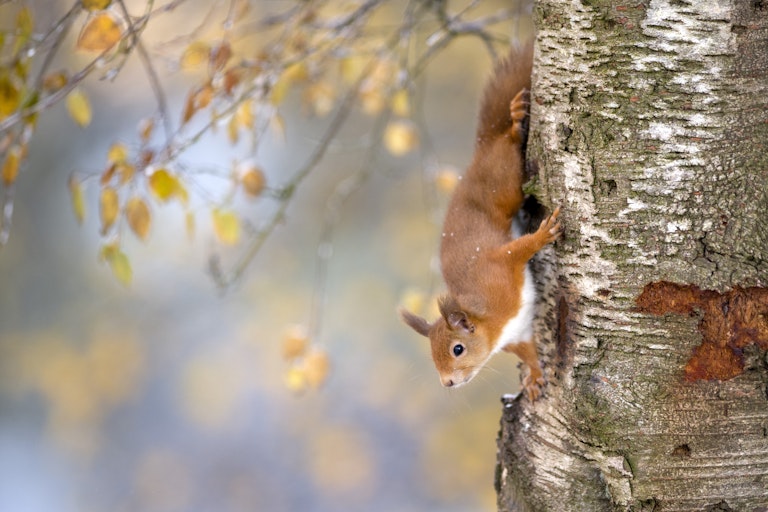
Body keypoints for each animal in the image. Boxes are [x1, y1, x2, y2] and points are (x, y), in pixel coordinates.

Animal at [400, 40, 561, 401]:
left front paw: (542, 236)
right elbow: (529, 352)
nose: (447, 383)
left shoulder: (498, 268)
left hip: (504, 182)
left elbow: (517, 250)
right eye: (433, 354)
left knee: (507, 146)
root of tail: (479, 153)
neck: (496, 326)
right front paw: (534, 376)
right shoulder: (518, 334)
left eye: (457, 349)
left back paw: (515, 124)